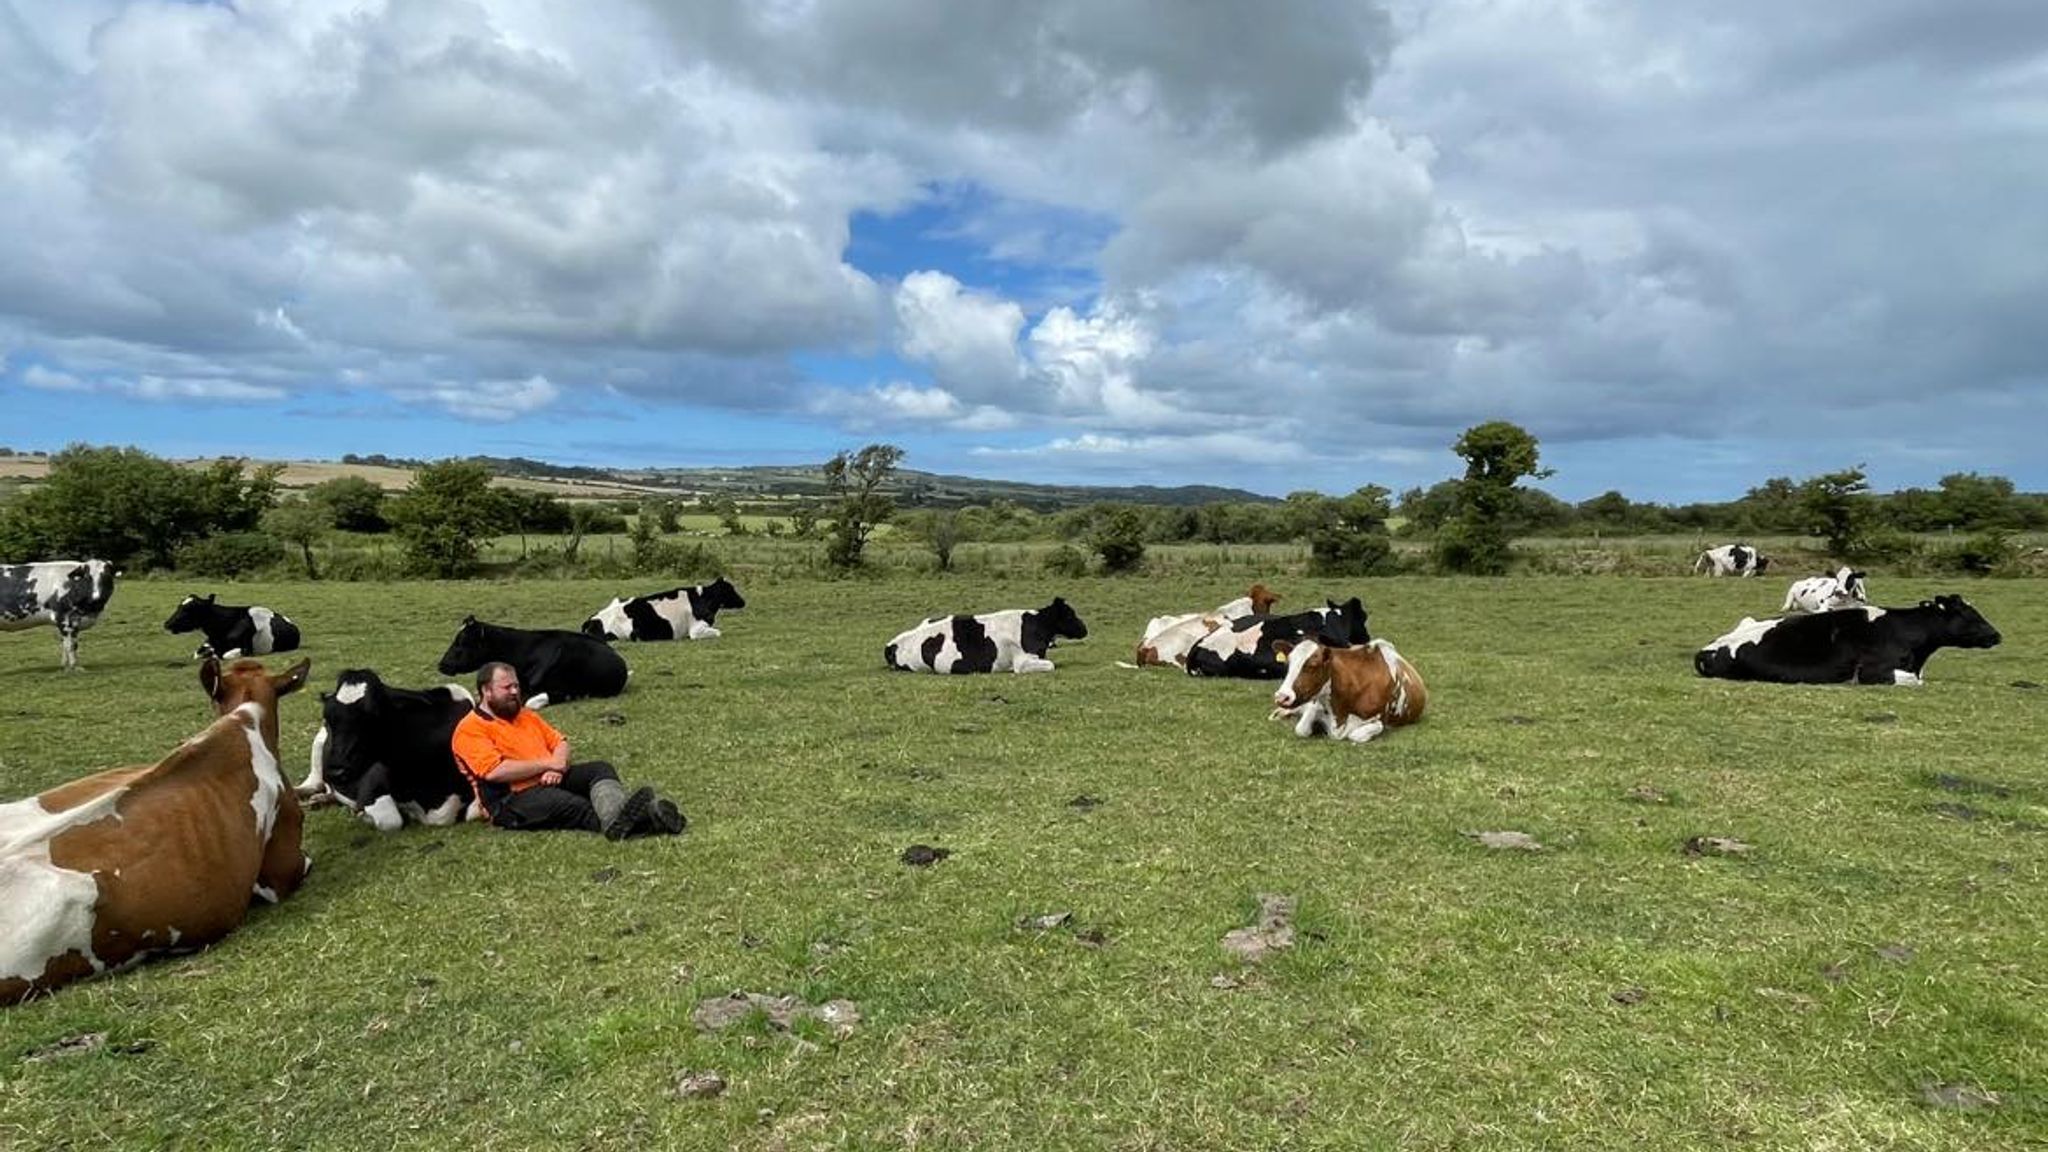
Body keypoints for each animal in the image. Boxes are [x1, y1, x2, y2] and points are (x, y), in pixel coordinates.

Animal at [163, 593, 303, 659]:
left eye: (189, 609)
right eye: (179, 606)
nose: (167, 623)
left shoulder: (246, 649)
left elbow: (223, 655)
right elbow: (196, 654)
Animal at [298, 670, 479, 832]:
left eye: (372, 716)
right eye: (327, 719)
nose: (336, 771)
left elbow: (474, 811)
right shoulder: (370, 788)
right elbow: (391, 820)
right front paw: (361, 815)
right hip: (319, 745)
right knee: (313, 782)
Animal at [581, 577, 747, 642]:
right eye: (731, 590)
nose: (743, 602)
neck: (703, 599)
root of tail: (592, 618)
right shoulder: (696, 629)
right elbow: (719, 632)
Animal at [1269, 638, 1427, 743]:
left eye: (1312, 666)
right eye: (1288, 664)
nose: (1282, 696)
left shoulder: (1378, 721)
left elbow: (1355, 735)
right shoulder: (1315, 703)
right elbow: (1301, 729)